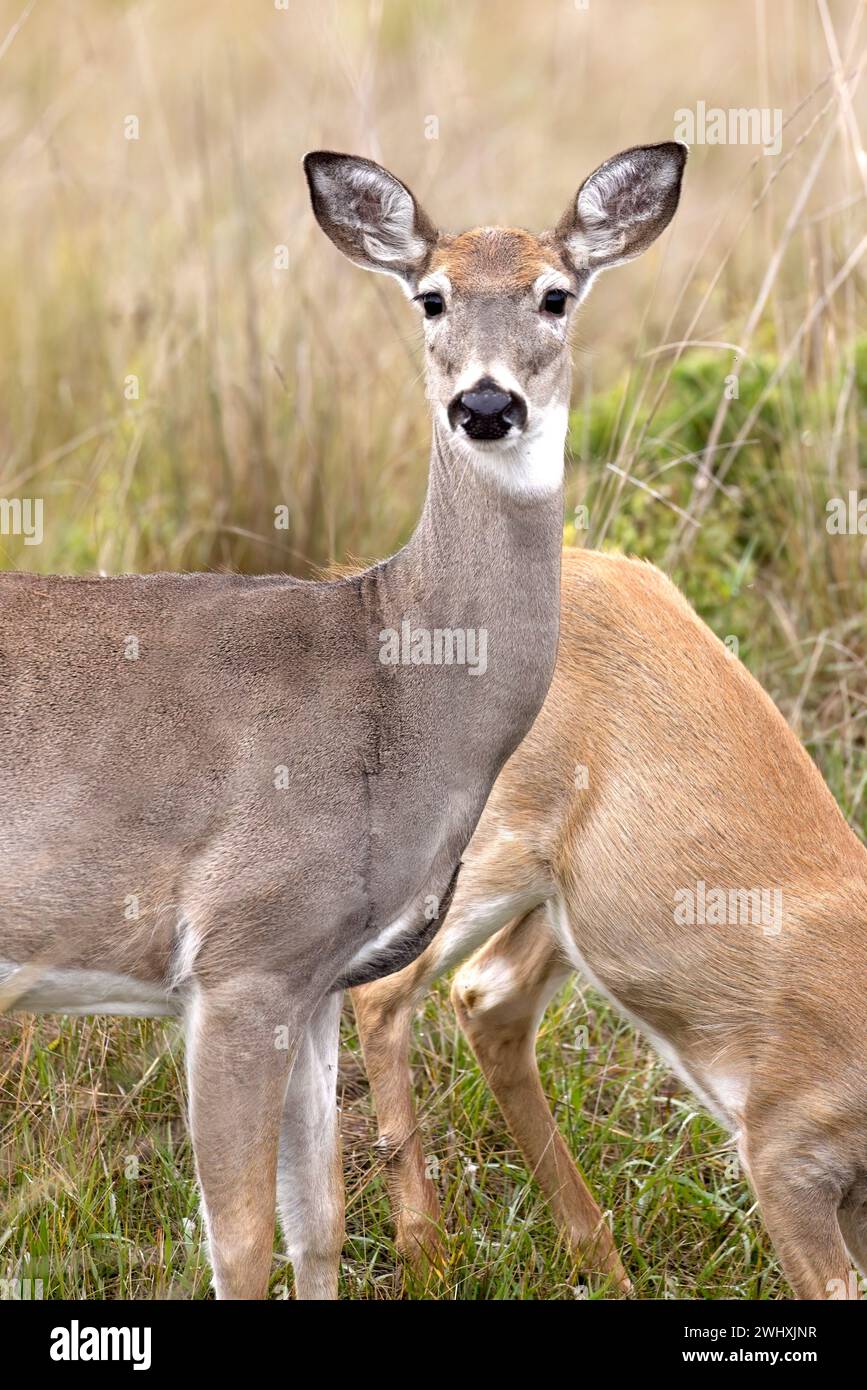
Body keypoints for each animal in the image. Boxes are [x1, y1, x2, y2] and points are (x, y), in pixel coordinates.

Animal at [0, 144, 687, 1299]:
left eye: (556, 293)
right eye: (430, 296)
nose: (486, 403)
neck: (390, 692)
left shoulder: (320, 980)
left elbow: (316, 1220)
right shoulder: (242, 956)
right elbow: (238, 1242)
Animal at [354, 547, 867, 1301]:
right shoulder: (786, 1144)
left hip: (568, 898)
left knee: (486, 994)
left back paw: (601, 1267)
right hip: (494, 829)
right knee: (384, 988)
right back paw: (426, 1255)